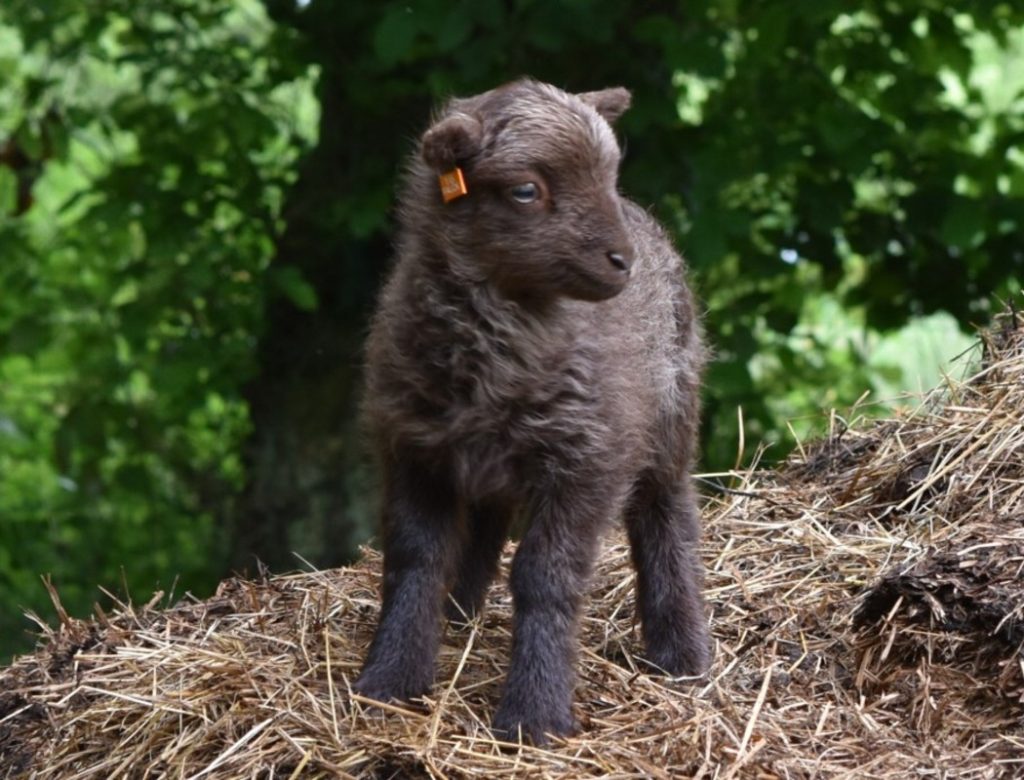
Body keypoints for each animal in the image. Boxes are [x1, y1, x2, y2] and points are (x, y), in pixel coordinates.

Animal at [354, 78, 709, 744]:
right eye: (525, 189)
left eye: (608, 176)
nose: (621, 261)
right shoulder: (414, 449)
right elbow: (415, 557)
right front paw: (390, 678)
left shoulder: (587, 459)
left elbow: (545, 576)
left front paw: (535, 714)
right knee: (484, 528)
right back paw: (459, 618)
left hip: (672, 414)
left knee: (666, 517)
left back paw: (682, 655)